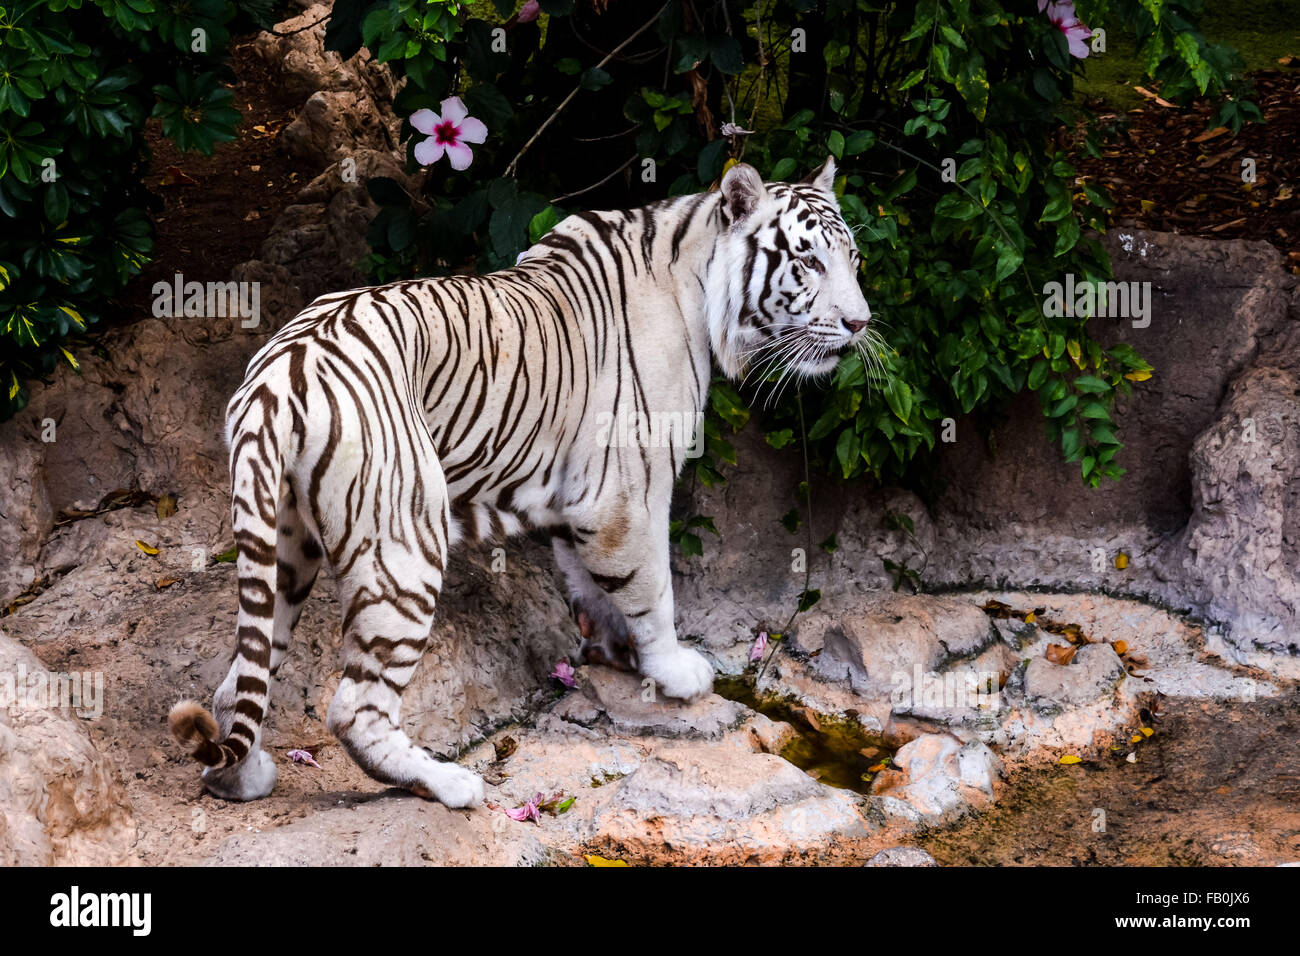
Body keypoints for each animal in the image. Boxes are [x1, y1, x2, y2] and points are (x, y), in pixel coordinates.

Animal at [169, 156, 873, 807]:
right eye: (808, 262)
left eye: (854, 257)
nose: (860, 323)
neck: (700, 286)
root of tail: (275, 376)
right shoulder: (627, 492)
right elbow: (652, 587)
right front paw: (674, 672)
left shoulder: (579, 496)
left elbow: (589, 582)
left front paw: (612, 650)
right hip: (404, 546)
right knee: (353, 707)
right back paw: (449, 784)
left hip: (285, 545)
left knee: (238, 680)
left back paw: (242, 779)